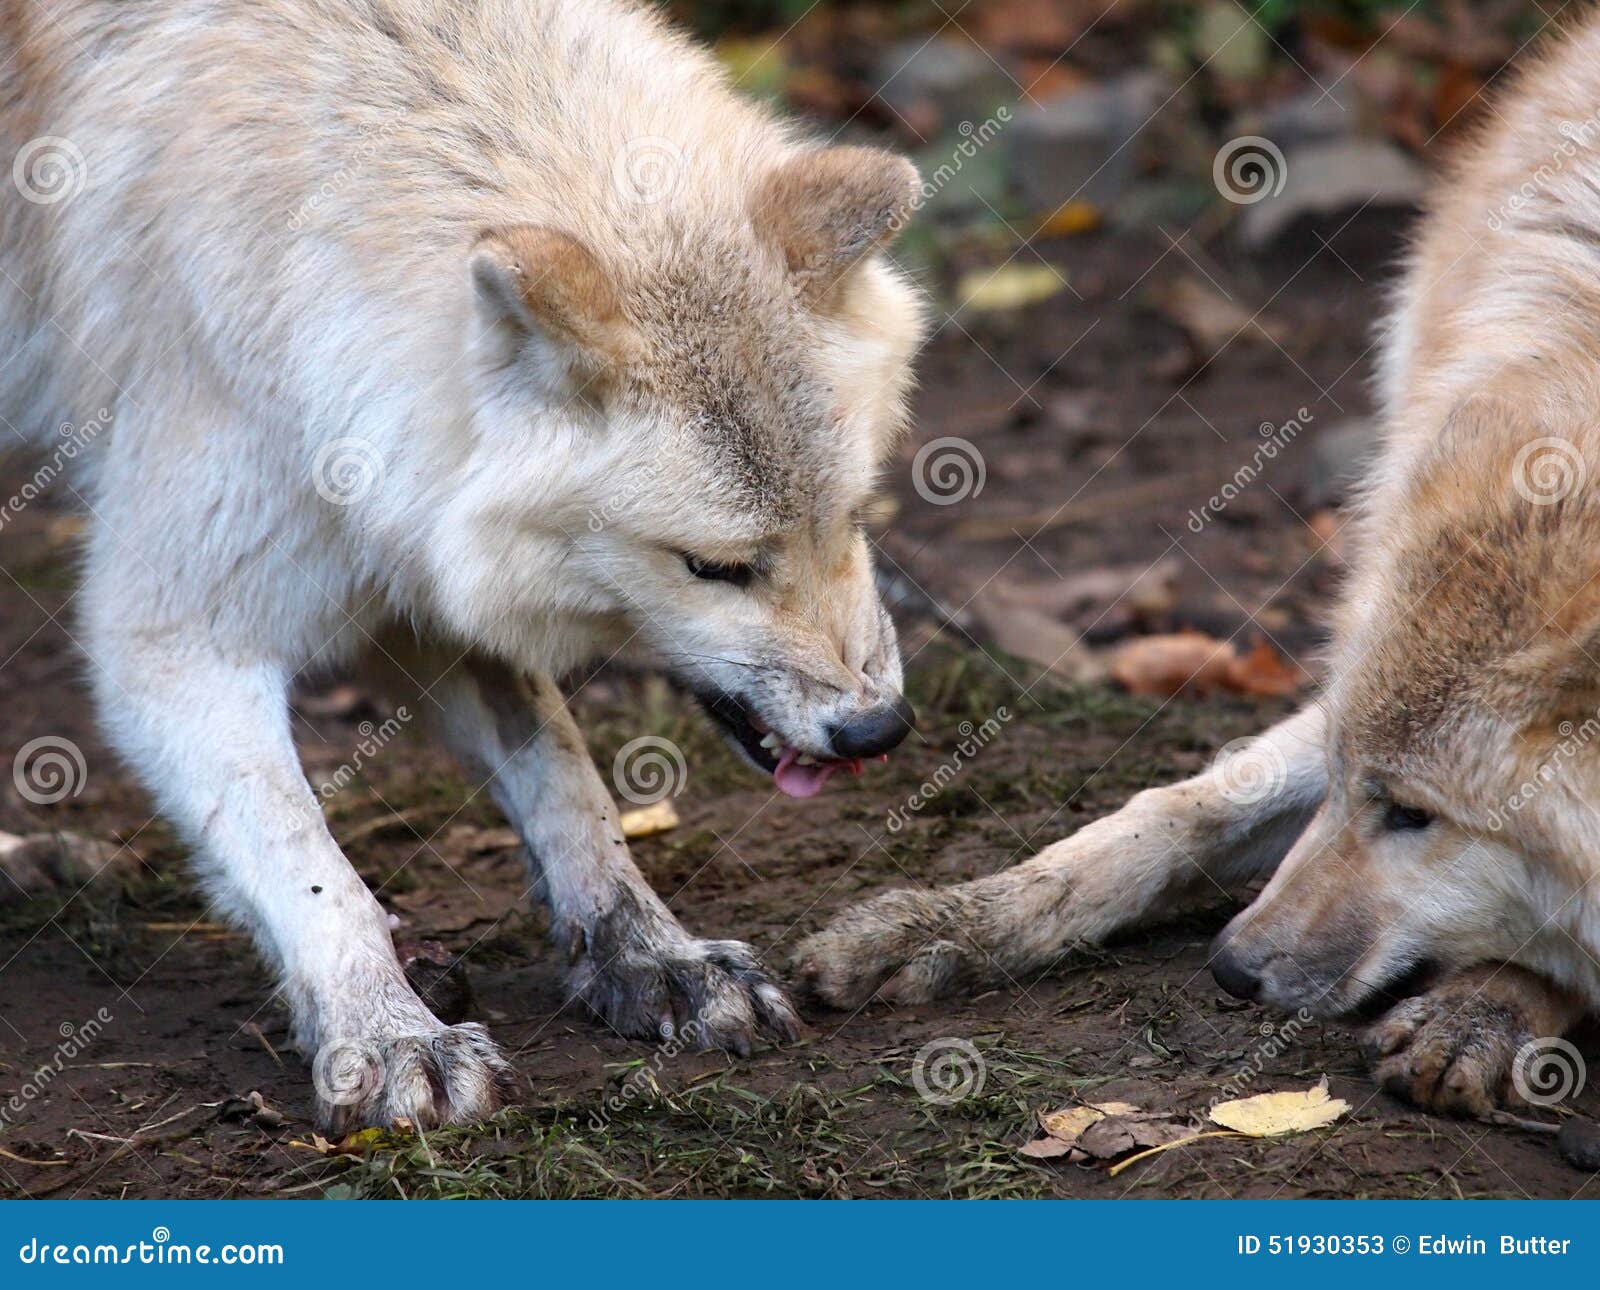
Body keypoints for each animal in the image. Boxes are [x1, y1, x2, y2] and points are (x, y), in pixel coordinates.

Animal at [0, 0, 924, 1129]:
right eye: (712, 568)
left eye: (853, 517)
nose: (877, 730)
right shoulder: (173, 638)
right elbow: (309, 861)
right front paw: (392, 1033)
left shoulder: (421, 574)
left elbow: (568, 784)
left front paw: (653, 956)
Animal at [797, 16, 1600, 1117]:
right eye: (1356, 789)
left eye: (1415, 816)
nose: (1230, 966)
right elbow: (1170, 816)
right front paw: (945, 921)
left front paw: (1483, 1009)